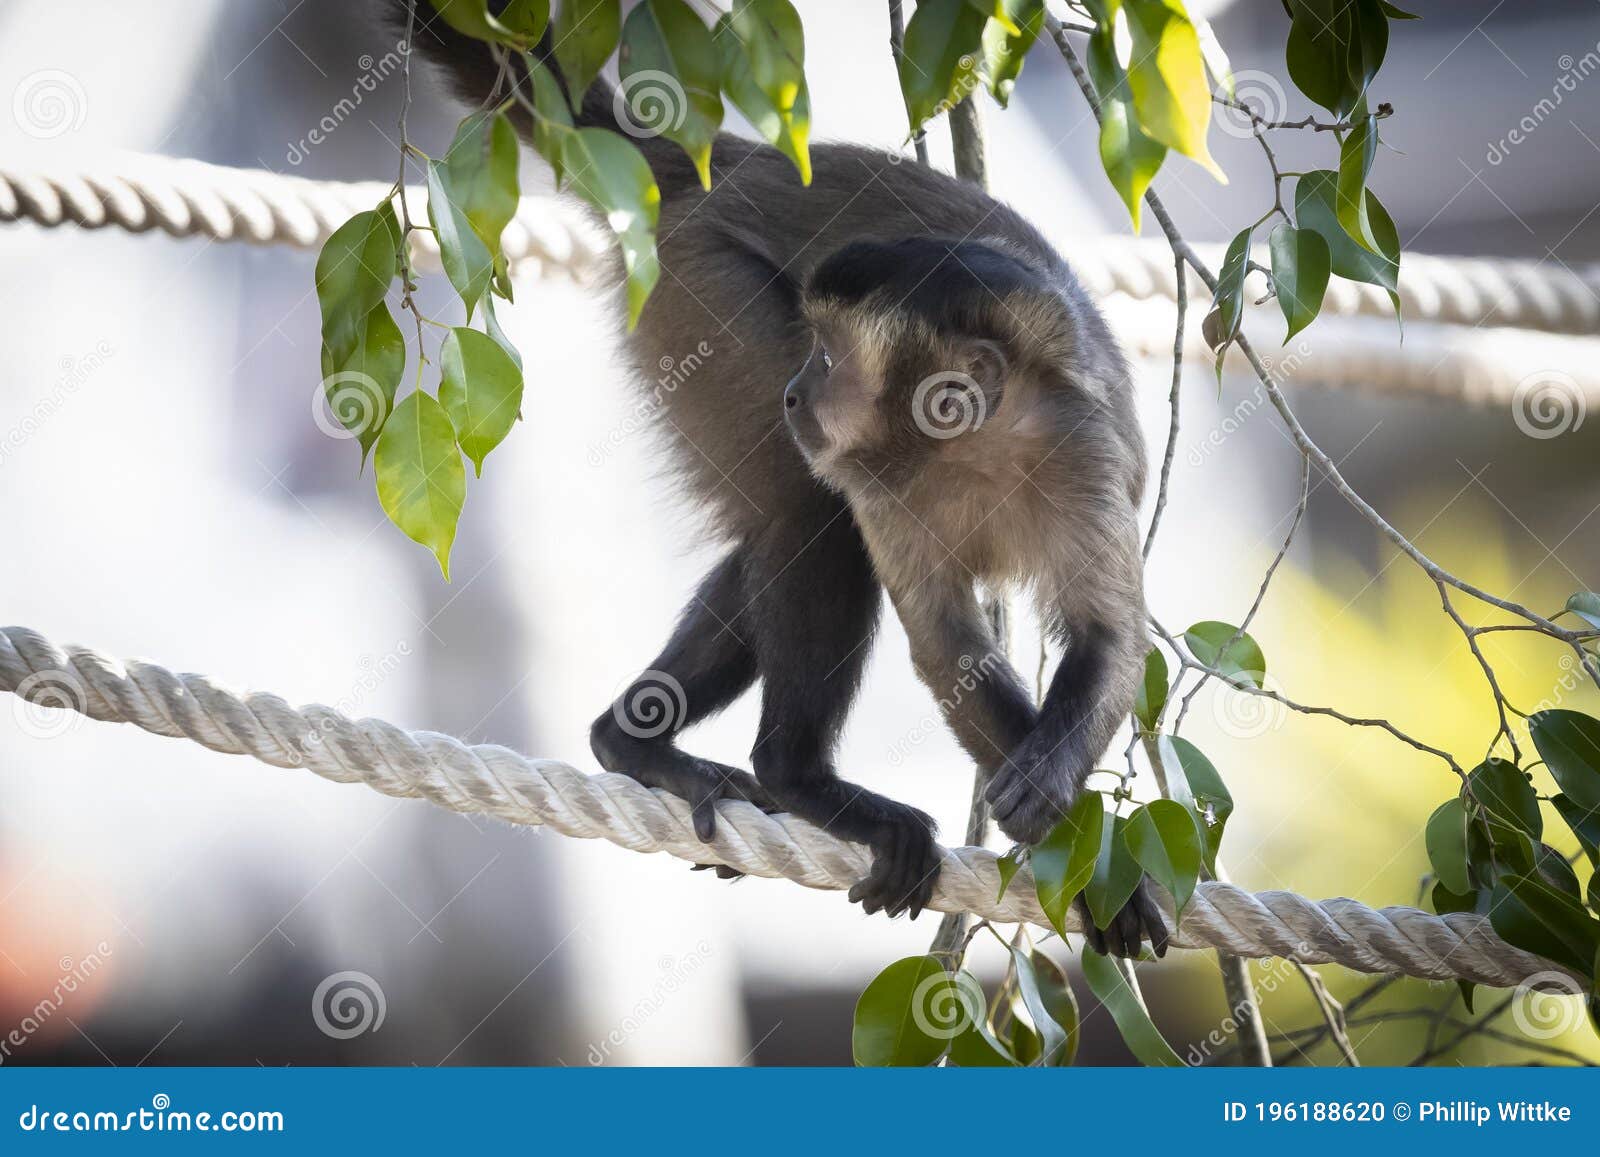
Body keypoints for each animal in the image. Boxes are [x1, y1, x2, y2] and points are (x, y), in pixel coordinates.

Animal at [405, 4, 1168, 958]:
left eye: (831, 359)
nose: (798, 389)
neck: (979, 447)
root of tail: (725, 163)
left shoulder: (1086, 449)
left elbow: (1109, 637)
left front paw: (1067, 811)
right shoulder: (875, 473)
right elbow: (945, 644)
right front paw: (1089, 858)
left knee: (783, 521)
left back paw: (632, 744)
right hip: (696, 290)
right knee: (808, 514)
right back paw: (792, 778)